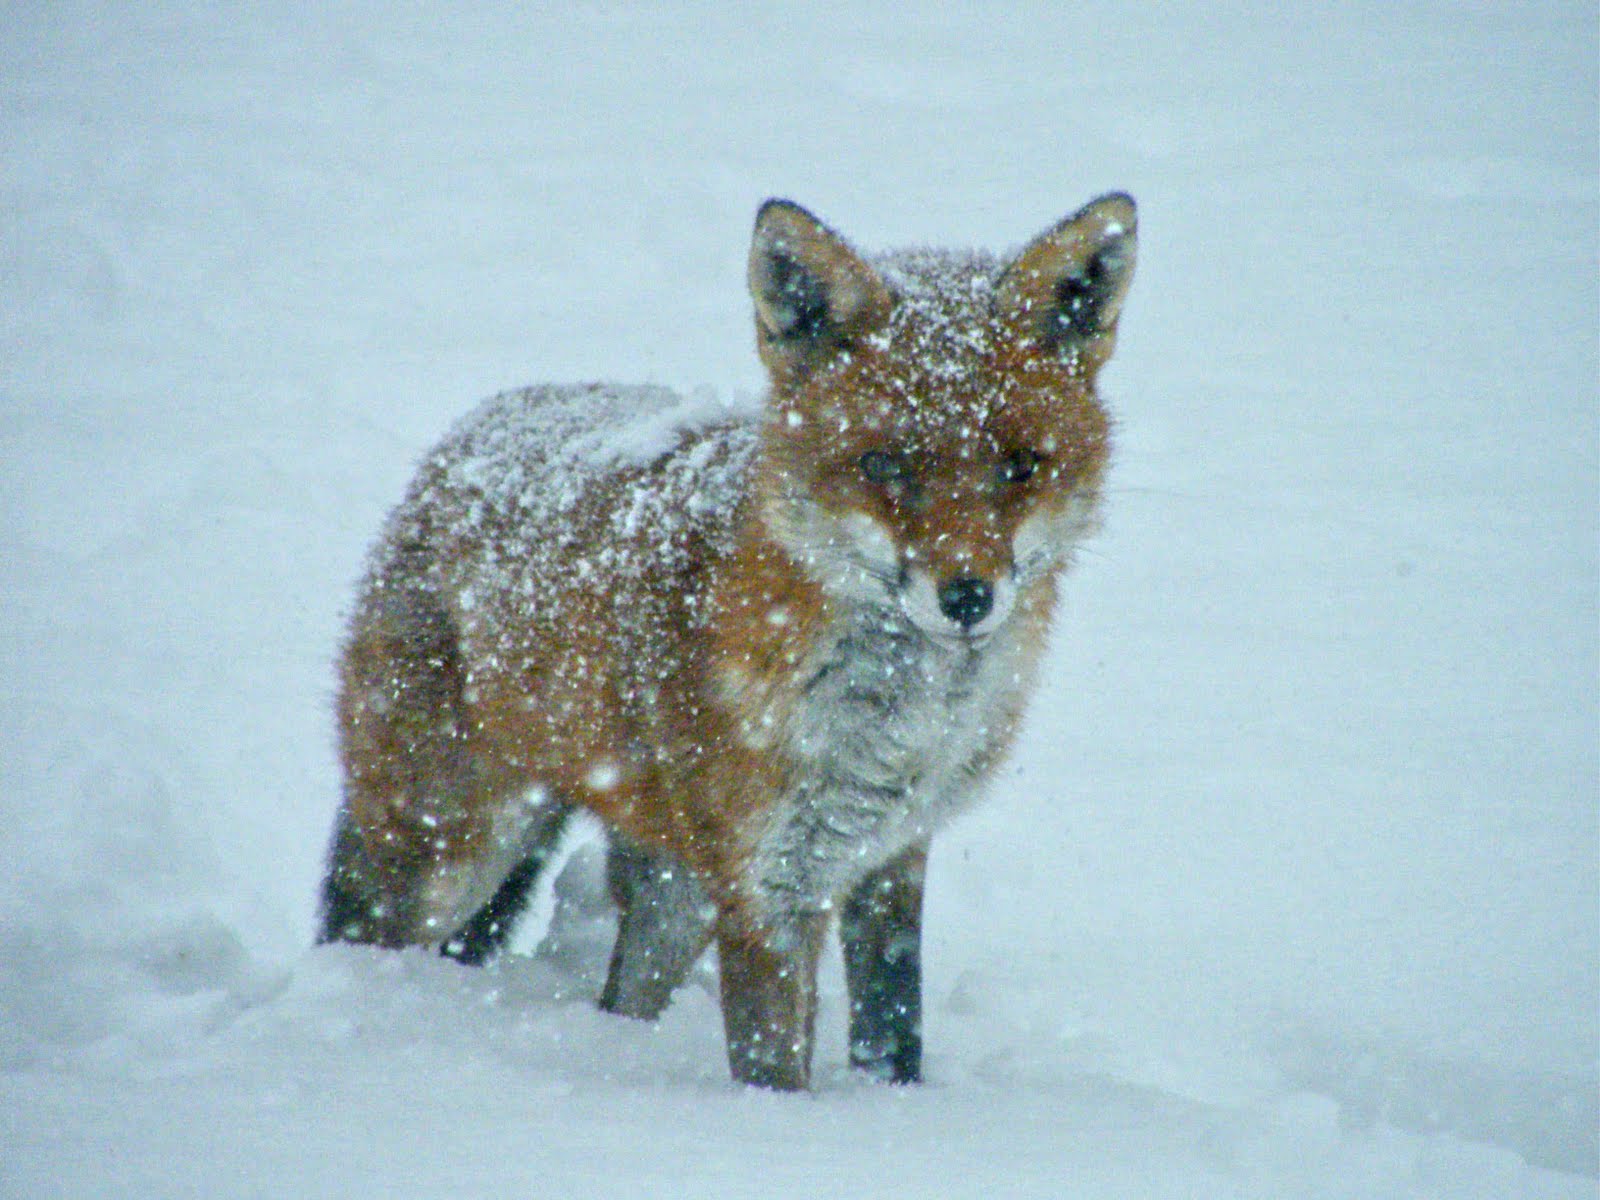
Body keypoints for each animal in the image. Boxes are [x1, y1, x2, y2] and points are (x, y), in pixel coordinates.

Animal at [318, 192, 1136, 1090]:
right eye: (884, 465)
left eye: (1022, 465)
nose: (967, 596)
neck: (899, 728)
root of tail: (459, 441)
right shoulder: (767, 886)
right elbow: (774, 1064)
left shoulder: (888, 857)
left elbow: (894, 1028)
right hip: (450, 849)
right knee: (365, 933)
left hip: (669, 889)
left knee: (624, 997)